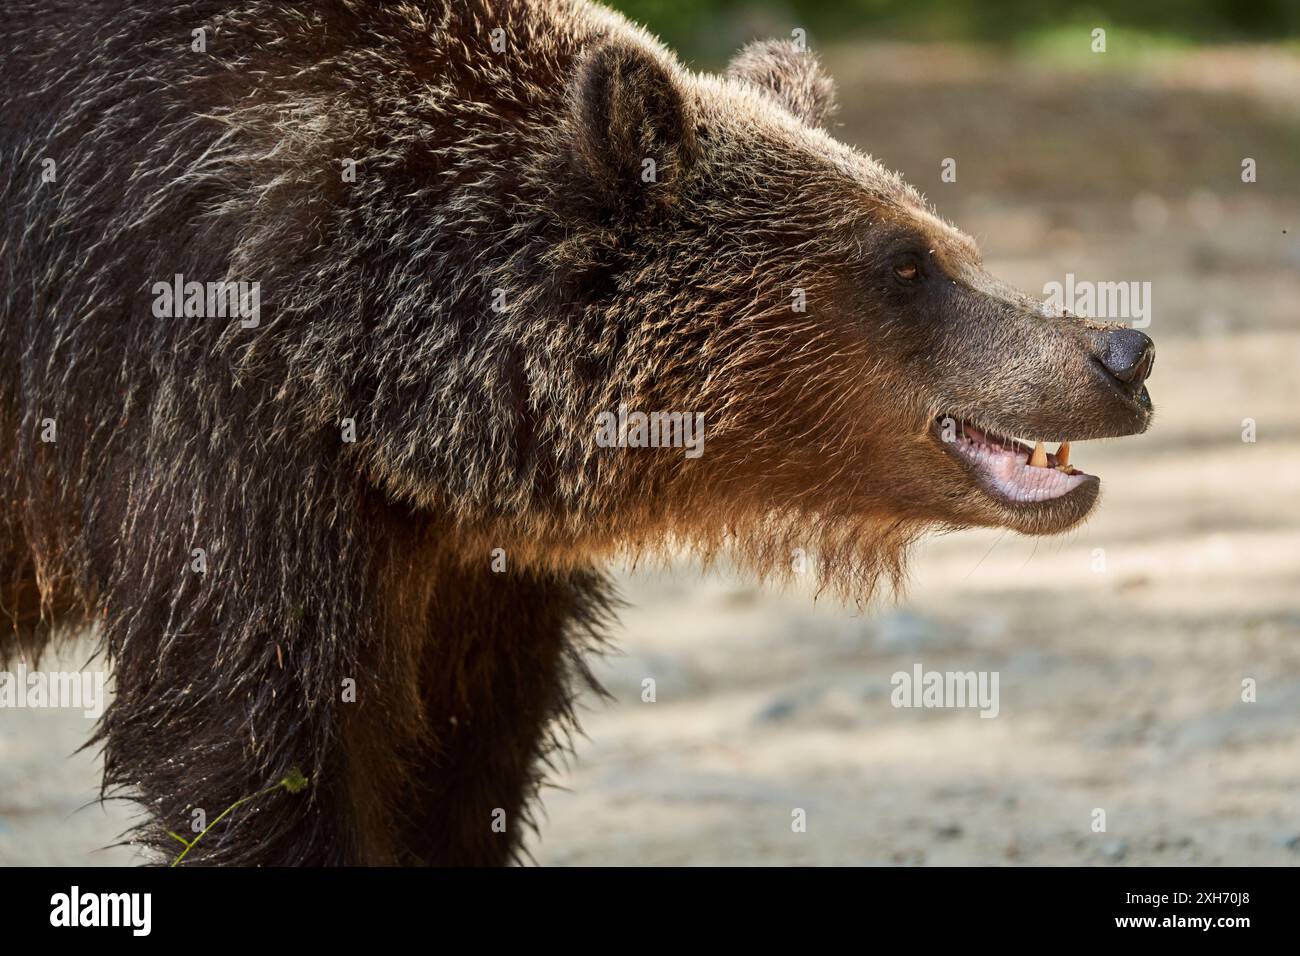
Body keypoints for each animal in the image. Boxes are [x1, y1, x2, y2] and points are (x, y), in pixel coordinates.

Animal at [0, 0, 1154, 865]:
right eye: (906, 263)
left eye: (953, 244)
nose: (1123, 352)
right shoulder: (204, 413)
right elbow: (252, 737)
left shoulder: (466, 555)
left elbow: (468, 751)